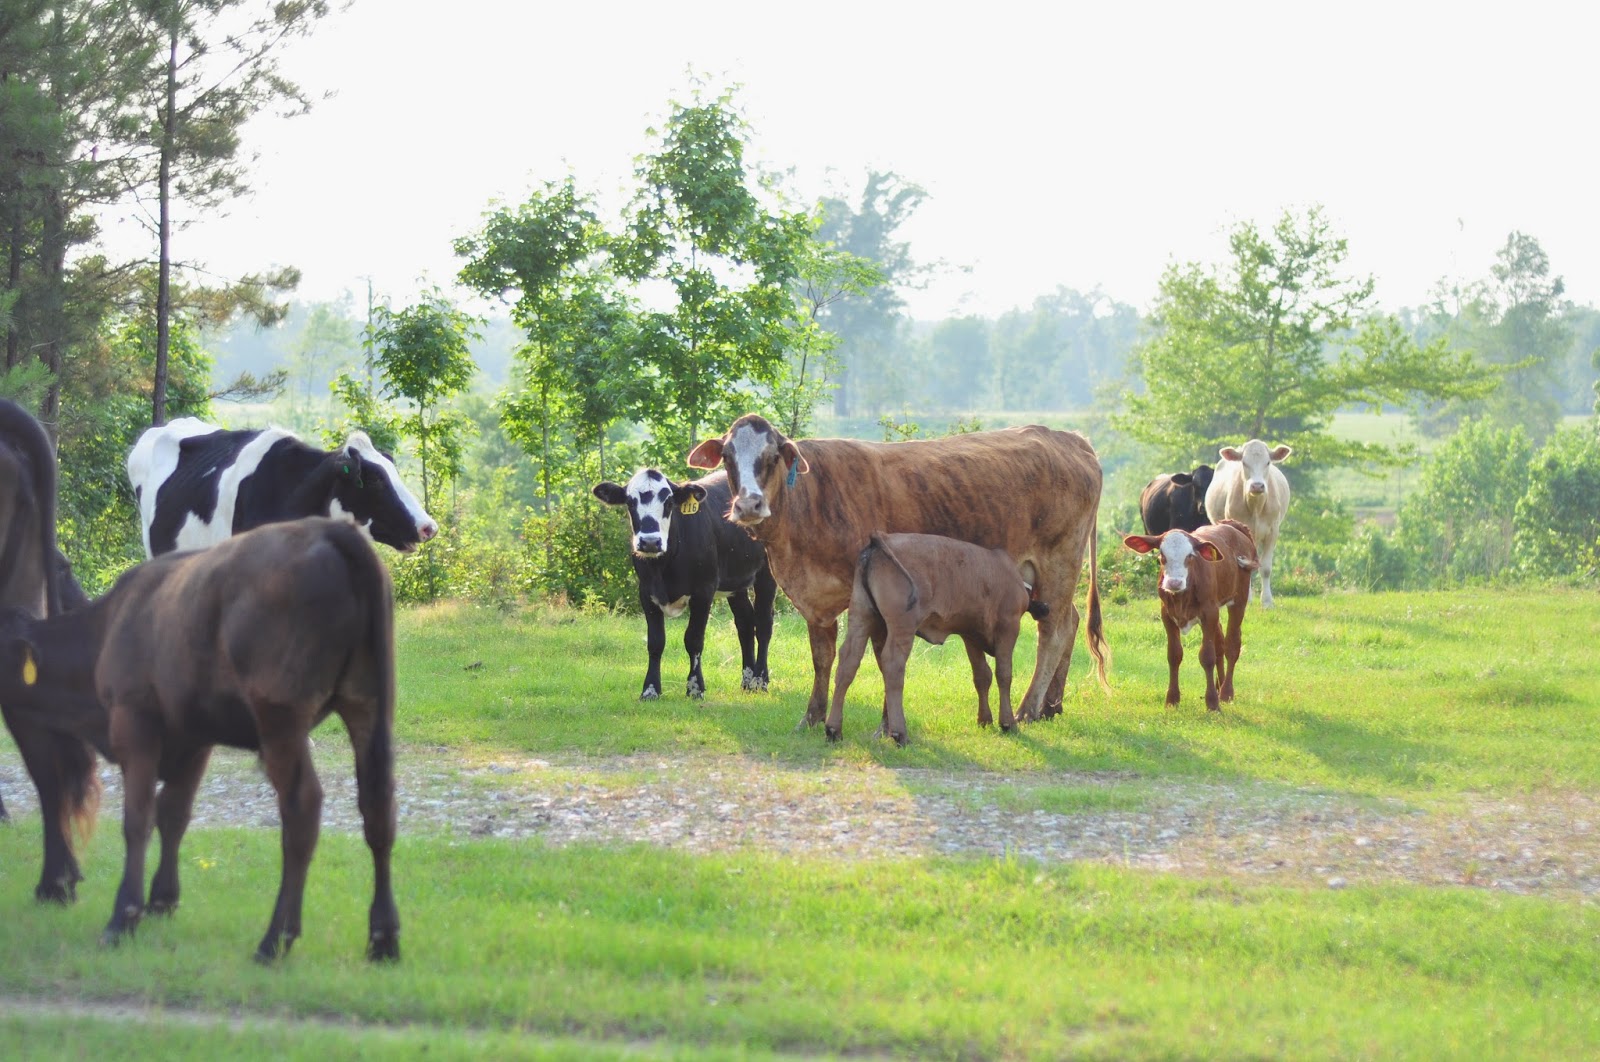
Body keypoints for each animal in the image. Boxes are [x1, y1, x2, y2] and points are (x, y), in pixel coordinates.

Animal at [0, 518, 400, 963]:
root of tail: (329, 528)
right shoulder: (195, 735)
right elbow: (173, 814)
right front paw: (162, 901)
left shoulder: (134, 722)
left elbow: (137, 819)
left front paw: (124, 916)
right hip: (368, 702)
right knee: (378, 806)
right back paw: (383, 939)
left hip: (280, 716)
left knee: (303, 808)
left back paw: (275, 939)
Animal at [593, 468, 777, 700]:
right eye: (630, 502)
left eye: (669, 502)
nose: (650, 542)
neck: (663, 567)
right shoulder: (646, 593)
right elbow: (655, 642)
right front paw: (650, 689)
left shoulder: (703, 591)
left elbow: (694, 639)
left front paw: (695, 687)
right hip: (736, 582)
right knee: (745, 622)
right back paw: (747, 681)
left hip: (767, 573)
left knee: (763, 623)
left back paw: (761, 680)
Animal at [826, 532, 1051, 745]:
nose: (1045, 608)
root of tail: (880, 539)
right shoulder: (1008, 627)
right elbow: (1003, 674)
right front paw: (1007, 723)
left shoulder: (970, 635)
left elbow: (982, 675)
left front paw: (984, 719)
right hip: (902, 626)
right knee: (893, 666)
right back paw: (900, 733)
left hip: (861, 616)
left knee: (848, 661)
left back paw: (833, 729)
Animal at [1123, 519, 1259, 712]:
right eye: (1162, 555)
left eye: (1190, 556)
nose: (1174, 582)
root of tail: (1232, 525)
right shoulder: (1167, 616)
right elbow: (1174, 655)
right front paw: (1172, 699)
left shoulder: (1209, 613)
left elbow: (1207, 656)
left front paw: (1212, 703)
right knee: (1220, 644)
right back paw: (1220, 685)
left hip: (1239, 599)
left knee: (1232, 645)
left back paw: (1226, 692)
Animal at [1204, 440, 1292, 607]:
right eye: (1244, 462)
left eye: (1268, 462)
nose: (1257, 485)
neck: (1255, 506)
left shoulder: (1273, 531)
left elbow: (1266, 568)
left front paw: (1267, 602)